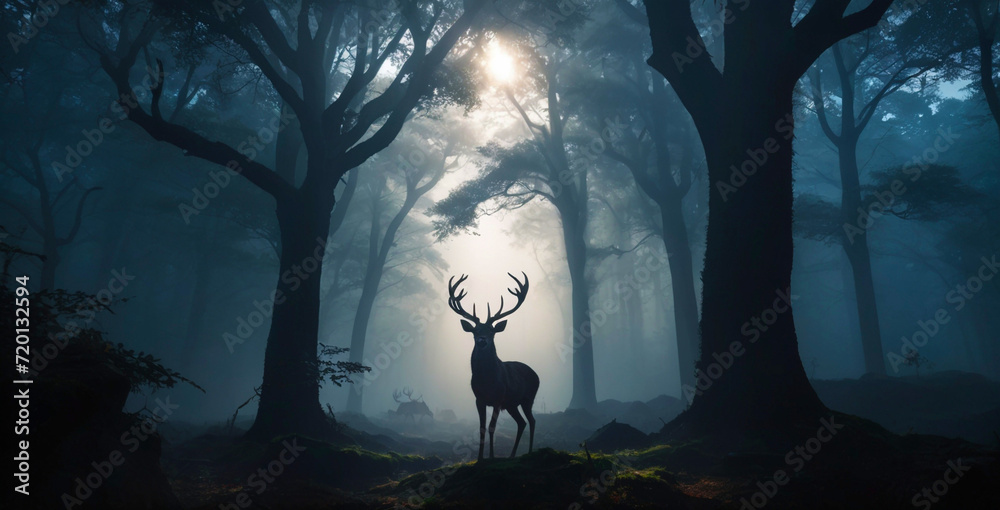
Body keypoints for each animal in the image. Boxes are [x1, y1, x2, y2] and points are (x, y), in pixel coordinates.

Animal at [448, 272, 539, 461]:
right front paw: (479, 458)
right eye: (475, 331)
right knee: (522, 422)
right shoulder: (479, 399)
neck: (487, 381)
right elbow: (482, 427)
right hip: (512, 404)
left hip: (528, 397)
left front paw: (491, 456)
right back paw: (511, 455)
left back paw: (529, 452)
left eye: (491, 331)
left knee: (532, 420)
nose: (482, 340)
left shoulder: (498, 398)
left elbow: (491, 427)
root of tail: (537, 375)